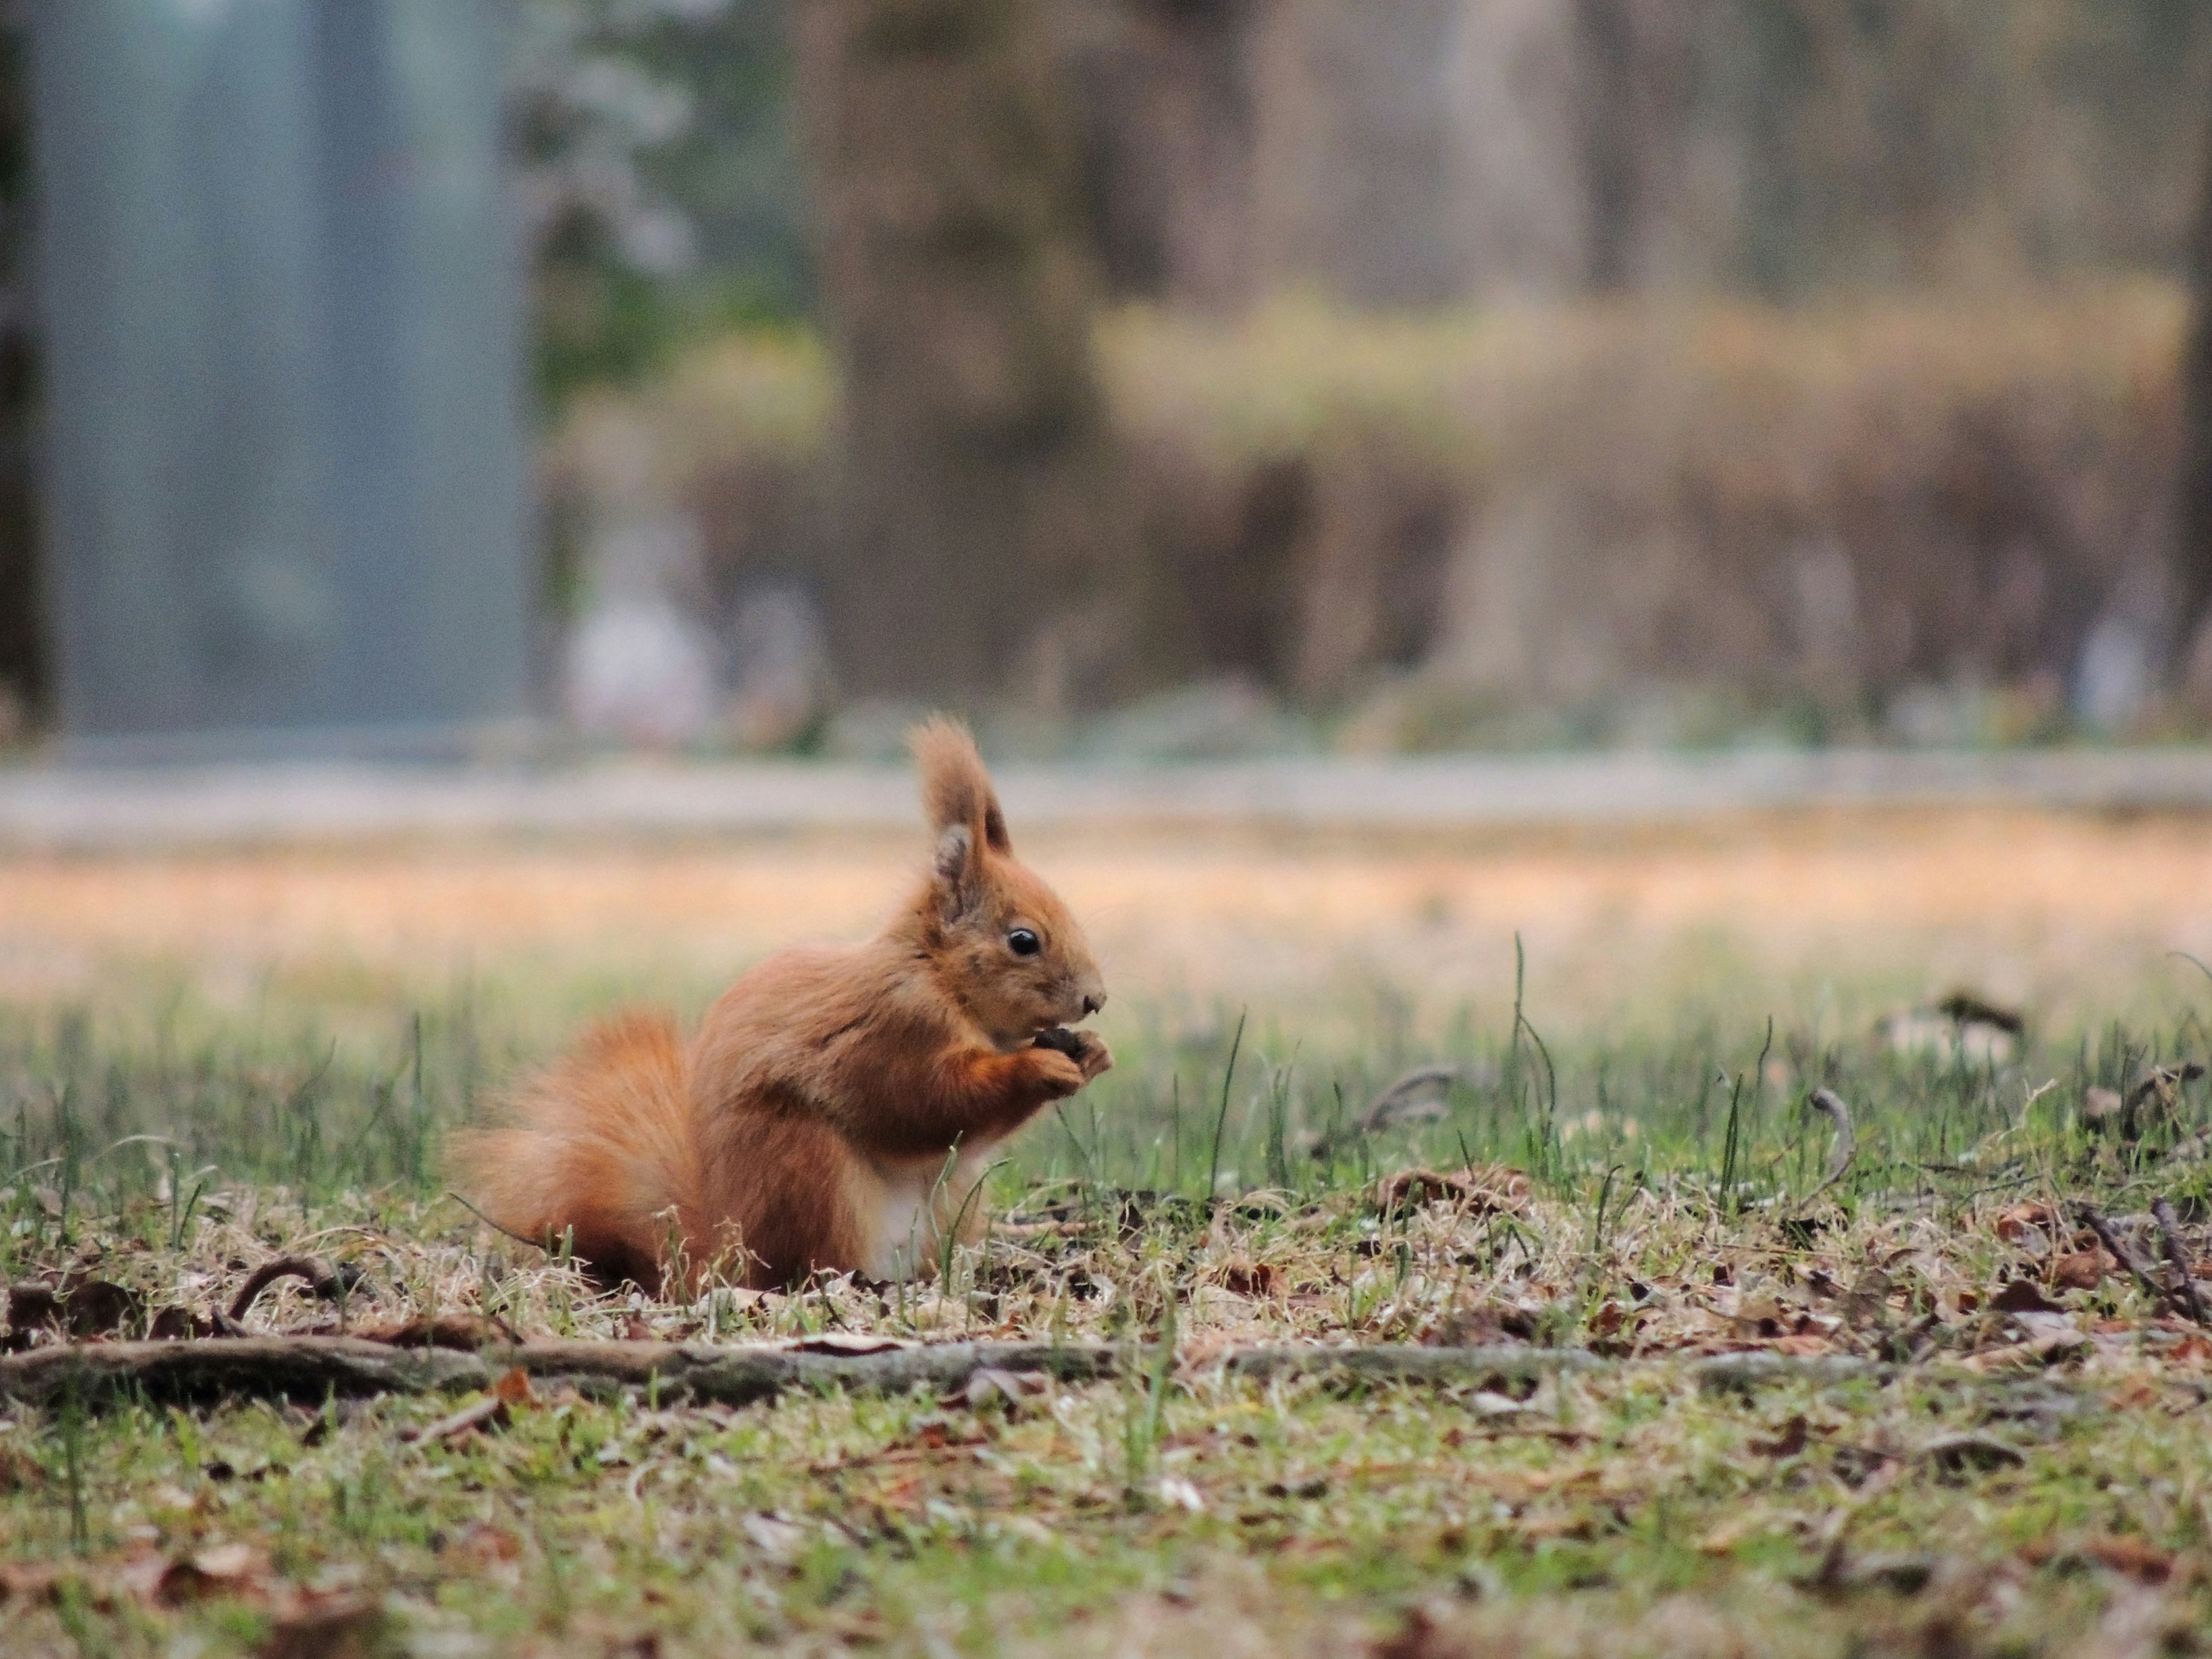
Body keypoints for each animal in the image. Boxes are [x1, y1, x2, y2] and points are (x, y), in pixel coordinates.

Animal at [452, 718, 1111, 1293]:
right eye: (1023, 940)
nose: (1096, 999)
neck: (941, 978)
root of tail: (724, 1257)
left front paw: (1094, 1053)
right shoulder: (890, 1027)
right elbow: (920, 1101)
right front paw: (1039, 1067)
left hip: (952, 1201)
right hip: (809, 1172)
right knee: (812, 1263)